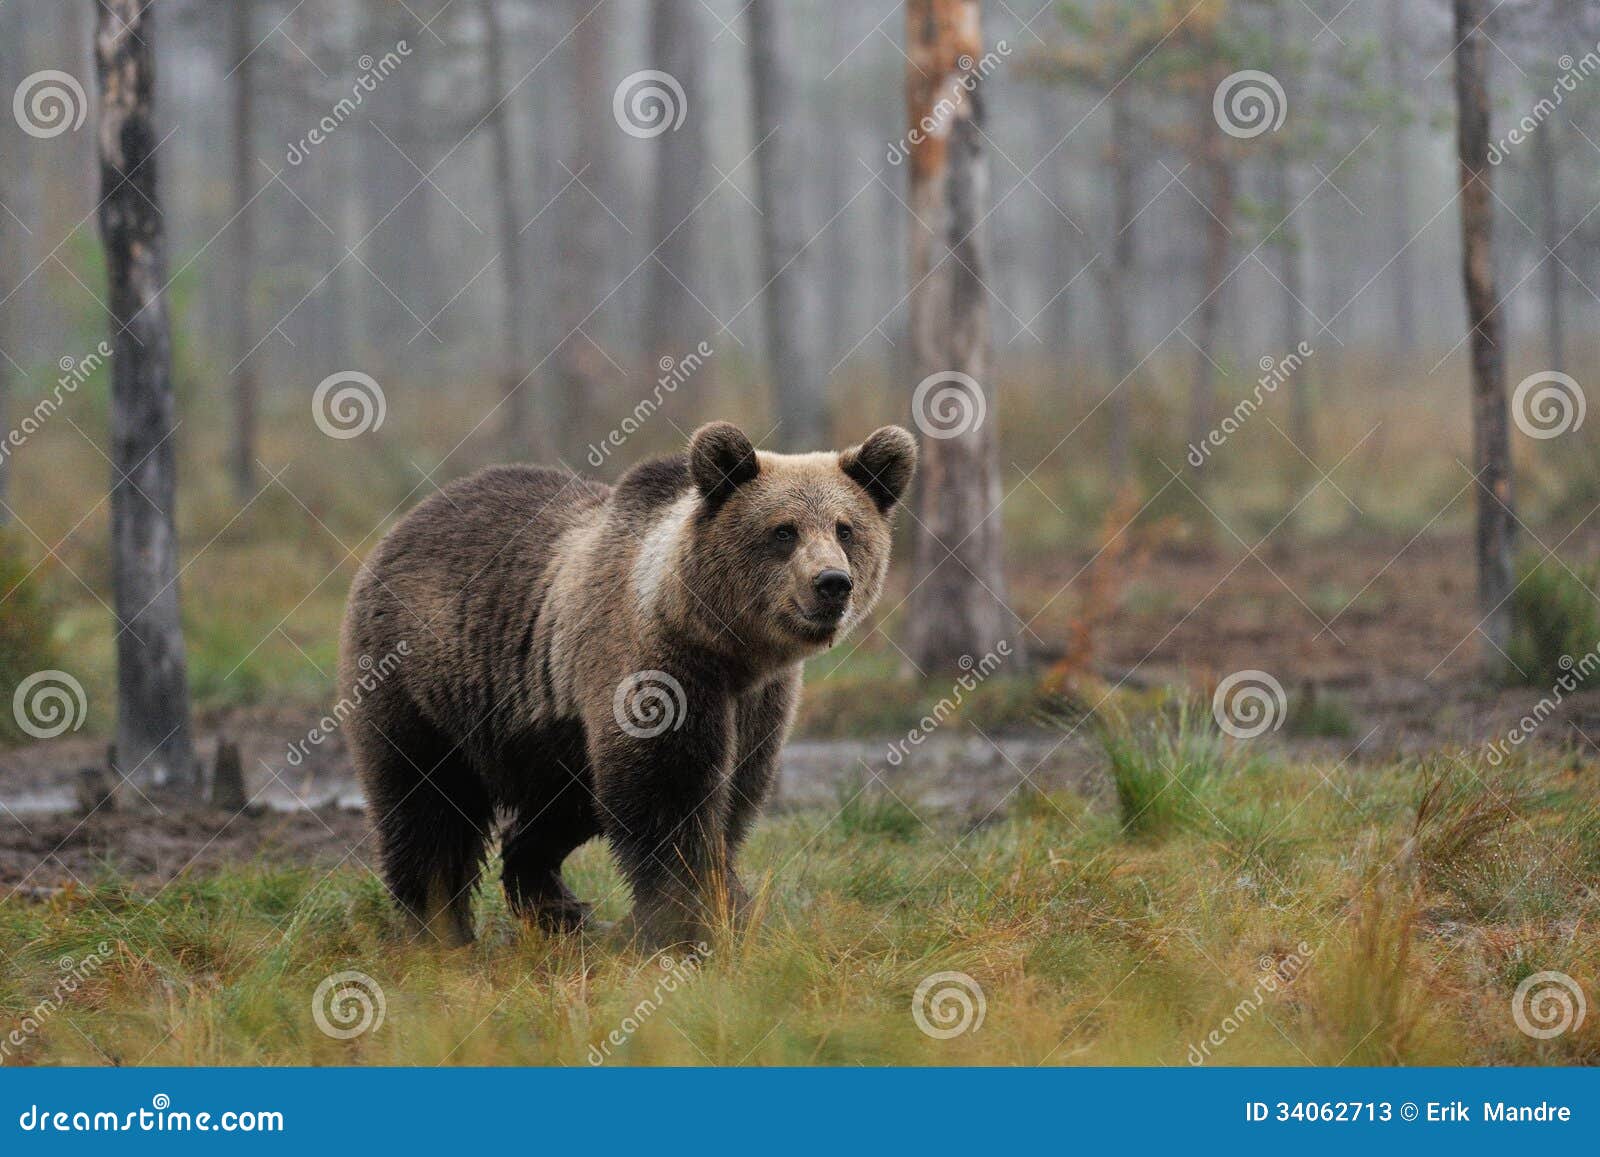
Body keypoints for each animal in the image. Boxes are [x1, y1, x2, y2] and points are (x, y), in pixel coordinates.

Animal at [338, 421, 917, 949]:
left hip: (552, 735)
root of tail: (404, 524)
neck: (720, 645)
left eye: (846, 528)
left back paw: (560, 911)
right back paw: (439, 930)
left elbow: (736, 795)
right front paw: (692, 922)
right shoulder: (656, 673)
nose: (832, 583)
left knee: (554, 813)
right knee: (425, 803)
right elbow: (668, 797)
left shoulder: (759, 701)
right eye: (783, 530)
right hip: (424, 680)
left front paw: (722, 909)